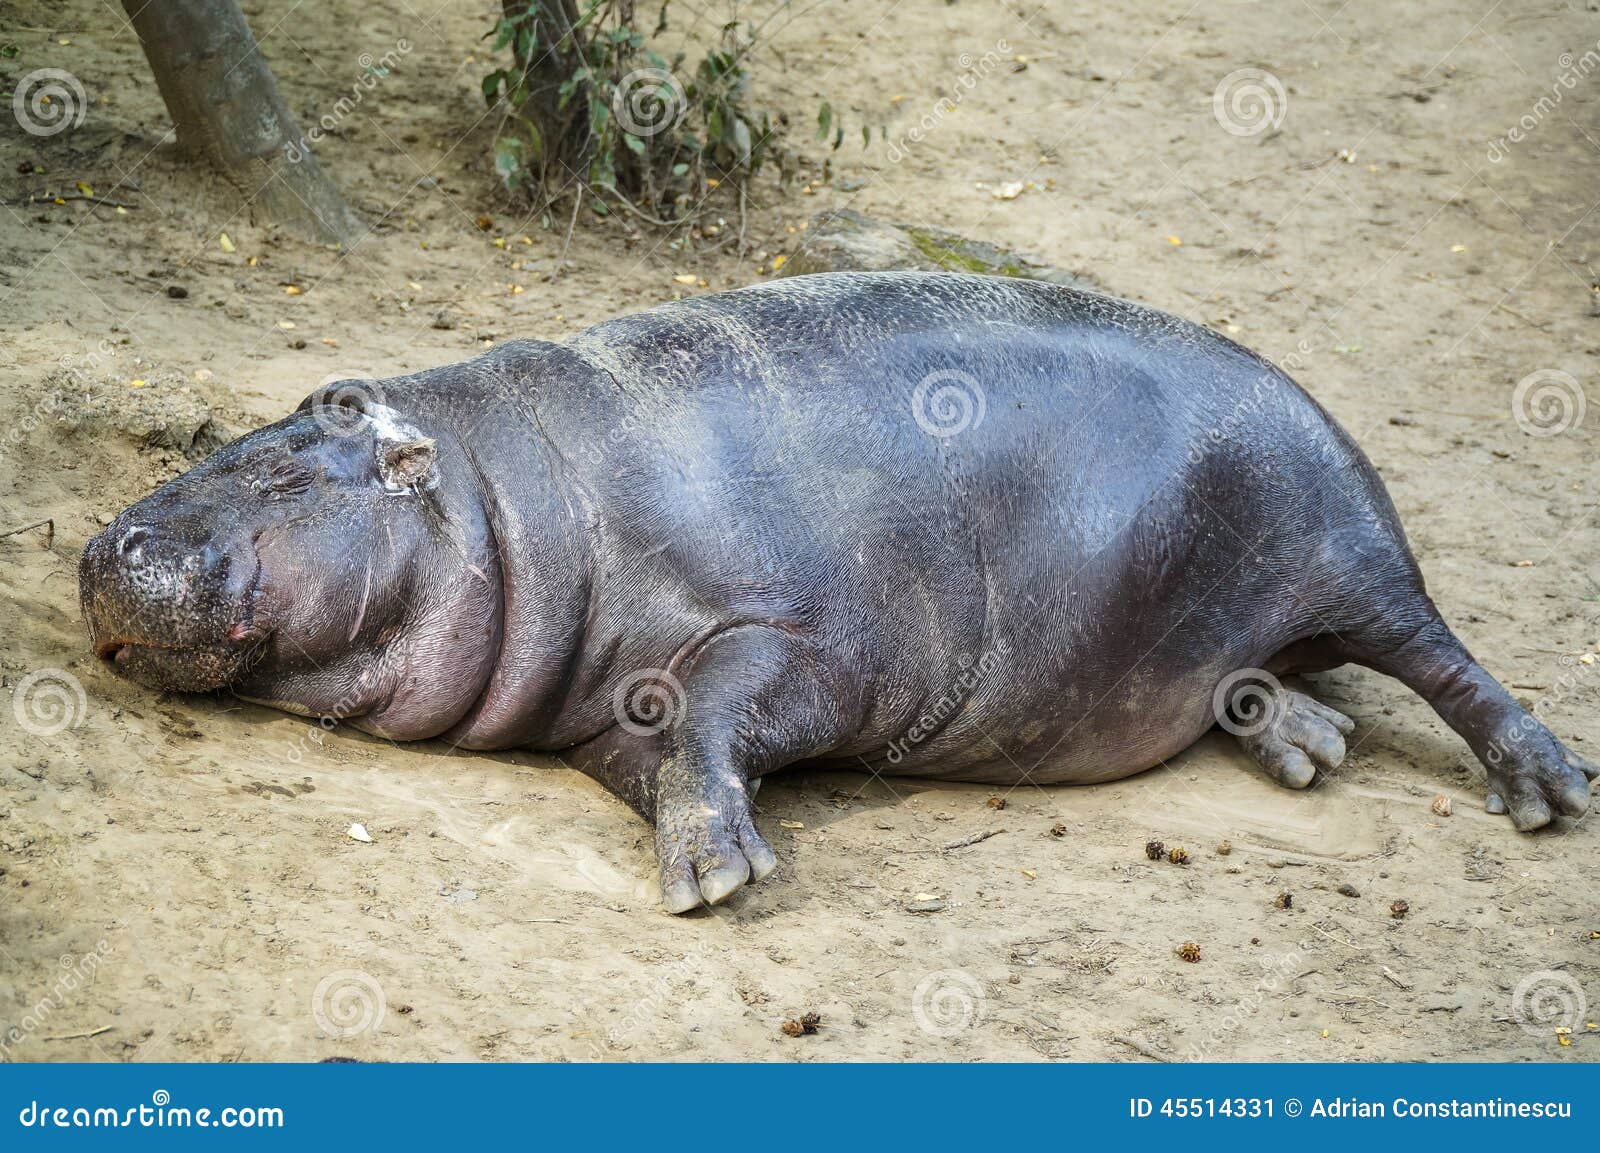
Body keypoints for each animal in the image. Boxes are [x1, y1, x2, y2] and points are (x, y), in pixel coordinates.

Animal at [80, 271, 1594, 913]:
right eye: (246, 433)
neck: (505, 504)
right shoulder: (612, 725)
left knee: (1446, 660)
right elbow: (671, 754)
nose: (105, 547)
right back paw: (1305, 749)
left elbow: (717, 710)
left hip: (1356, 549)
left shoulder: (797, 639)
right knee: (1271, 679)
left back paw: (1545, 794)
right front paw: (711, 852)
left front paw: (714, 880)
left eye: (290, 459)